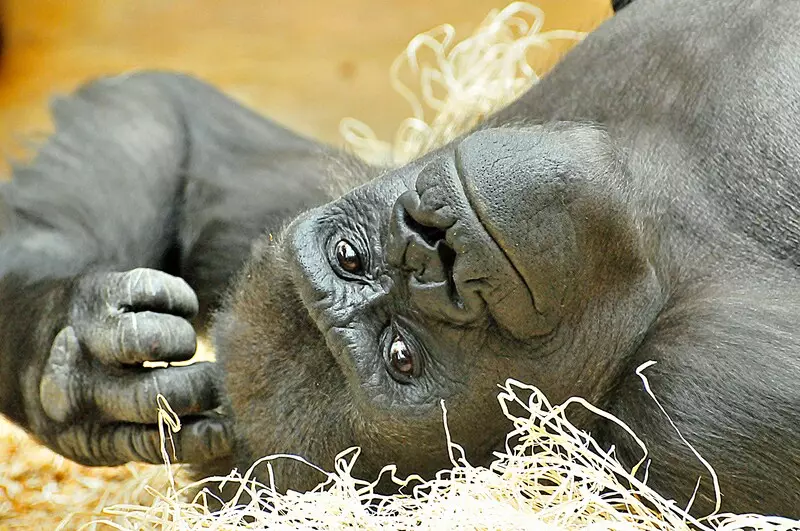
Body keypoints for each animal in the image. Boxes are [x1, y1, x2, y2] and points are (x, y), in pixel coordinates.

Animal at [0, 0, 796, 520]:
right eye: (403, 357)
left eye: (348, 255)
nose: (436, 254)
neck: (647, 225)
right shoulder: (695, 417)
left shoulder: (293, 207)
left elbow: (174, 123)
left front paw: (74, 360)